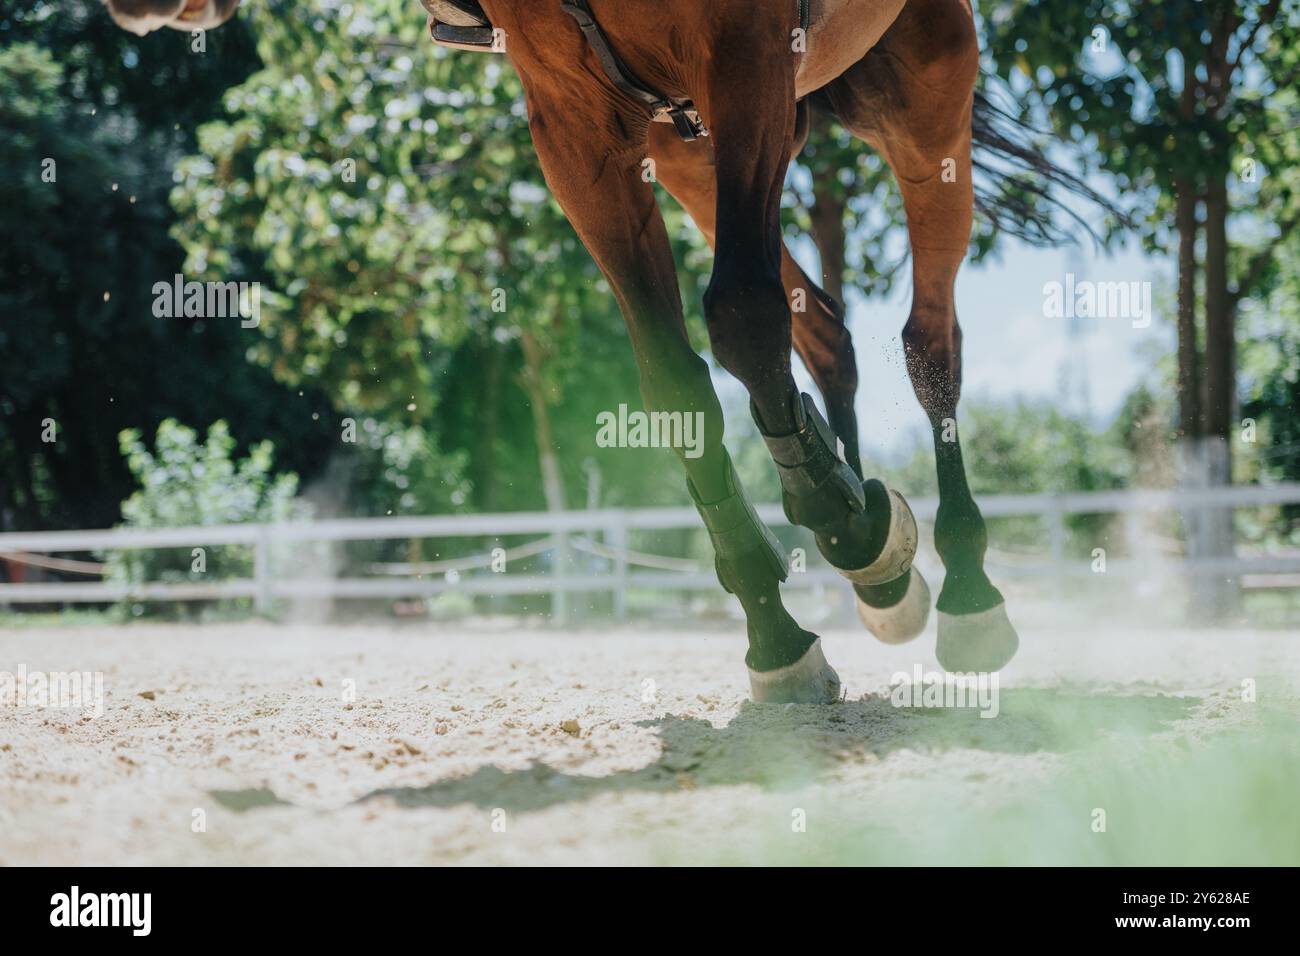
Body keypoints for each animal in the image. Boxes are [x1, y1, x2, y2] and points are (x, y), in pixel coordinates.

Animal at [100, 0, 1028, 703]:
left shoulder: (745, 50)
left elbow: (740, 317)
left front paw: (839, 519)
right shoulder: (582, 135)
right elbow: (675, 385)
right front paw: (778, 631)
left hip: (917, 94)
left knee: (928, 342)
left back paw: (963, 588)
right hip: (693, 152)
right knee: (825, 328)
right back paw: (878, 572)